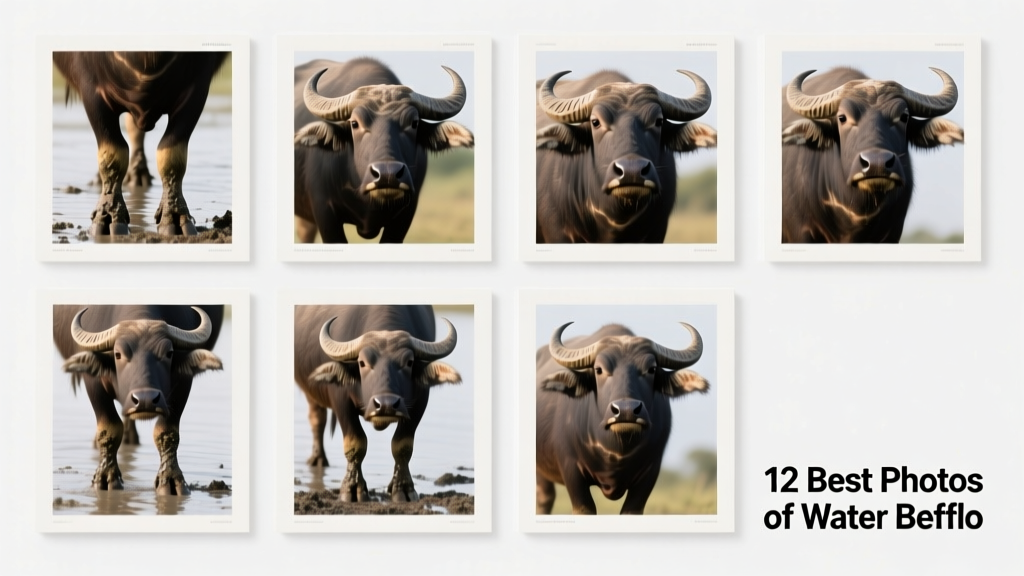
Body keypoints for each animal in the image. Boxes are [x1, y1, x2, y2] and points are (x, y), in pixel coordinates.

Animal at [53, 51, 229, 237]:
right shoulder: (91, 88)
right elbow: (112, 154)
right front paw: (107, 217)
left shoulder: (197, 88)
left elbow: (171, 156)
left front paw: (174, 218)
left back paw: (138, 176)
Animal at [53, 305, 224, 495]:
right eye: (117, 354)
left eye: (169, 353)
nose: (145, 400)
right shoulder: (93, 382)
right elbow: (109, 429)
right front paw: (105, 479)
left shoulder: (183, 383)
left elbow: (167, 432)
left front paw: (171, 480)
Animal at [294, 305, 461, 502]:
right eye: (361, 362)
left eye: (409, 362)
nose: (386, 404)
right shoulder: (341, 401)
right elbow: (355, 444)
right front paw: (352, 490)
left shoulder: (419, 402)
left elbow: (402, 446)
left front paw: (403, 489)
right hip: (311, 393)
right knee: (317, 420)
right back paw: (318, 459)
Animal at [536, 322, 709, 514]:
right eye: (598, 369)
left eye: (651, 369)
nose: (626, 411)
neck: (617, 451)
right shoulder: (571, 469)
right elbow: (585, 509)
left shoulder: (650, 473)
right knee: (545, 498)